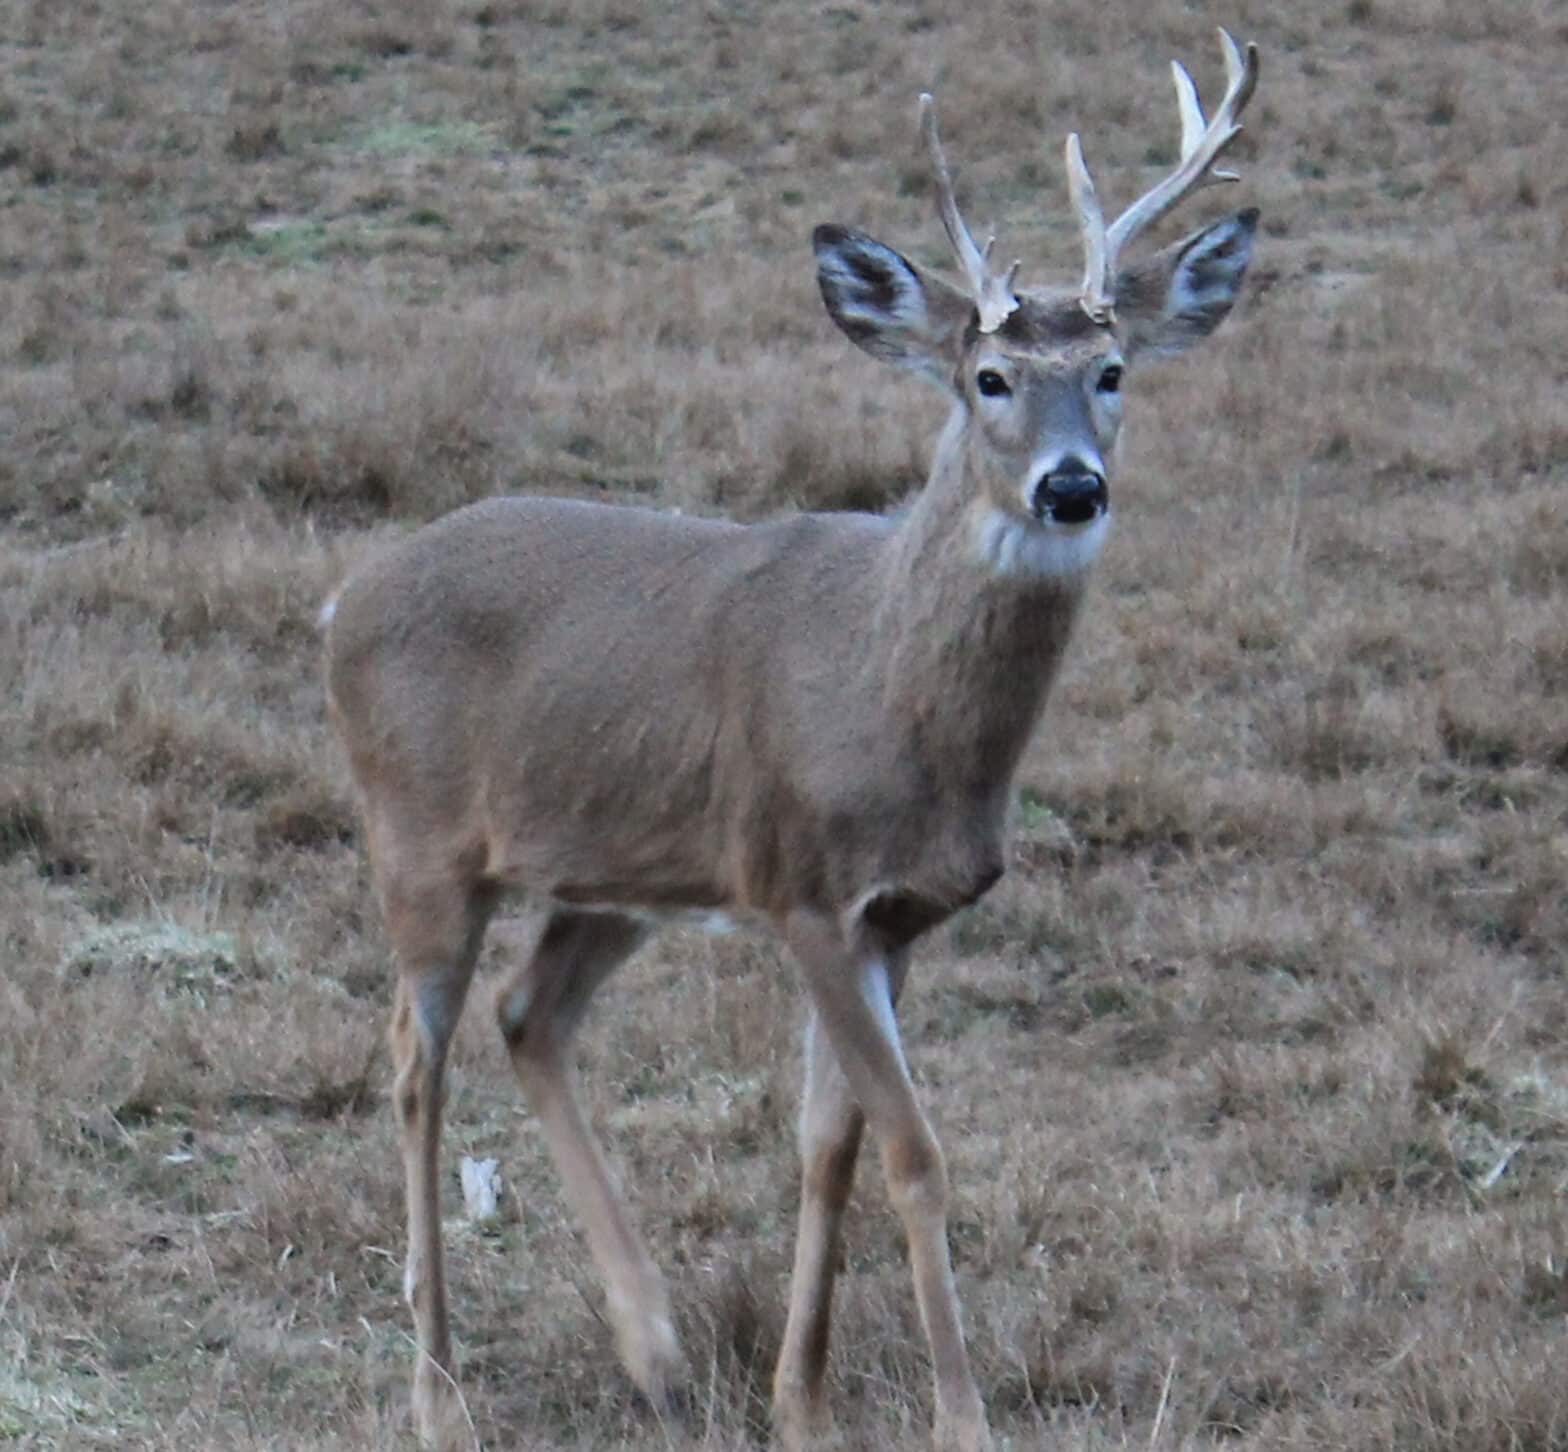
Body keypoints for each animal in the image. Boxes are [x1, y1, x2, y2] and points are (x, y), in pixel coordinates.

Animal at [322, 28, 1260, 1452]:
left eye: (1111, 374)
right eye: (986, 377)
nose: (1070, 485)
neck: (892, 698)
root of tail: (339, 604)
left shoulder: (896, 915)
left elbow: (831, 1147)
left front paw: (797, 1401)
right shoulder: (804, 890)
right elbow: (914, 1151)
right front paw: (961, 1418)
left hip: (620, 868)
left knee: (529, 1014)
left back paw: (652, 1349)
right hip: (418, 838)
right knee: (410, 1062)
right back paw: (438, 1391)